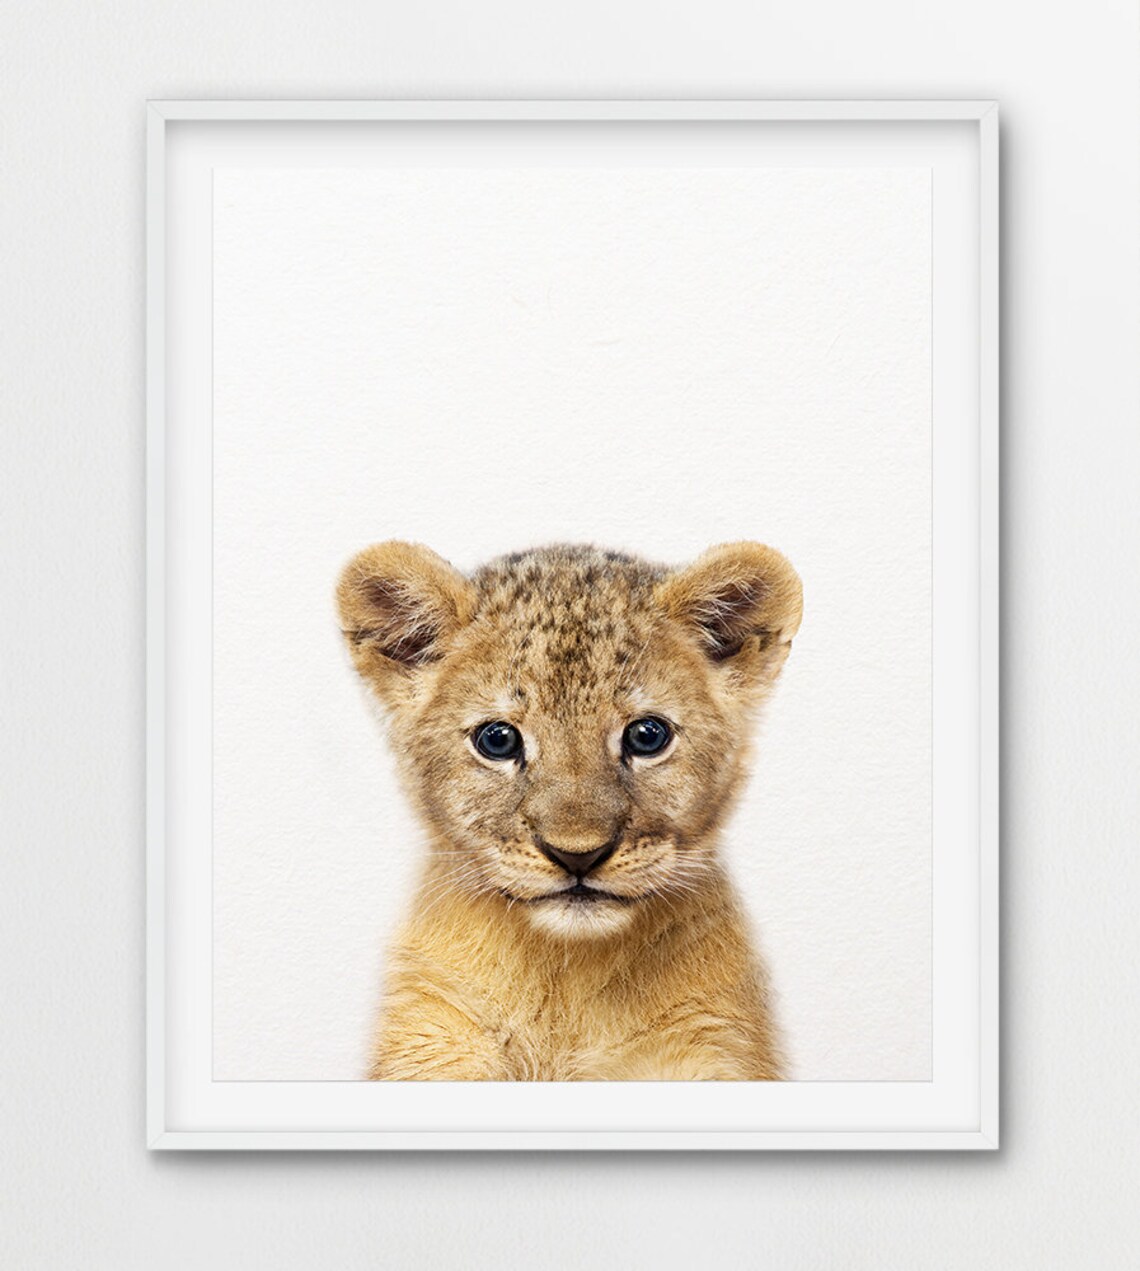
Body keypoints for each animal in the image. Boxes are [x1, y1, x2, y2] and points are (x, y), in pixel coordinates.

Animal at [336, 540, 802, 1080]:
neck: (563, 975)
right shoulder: (430, 1035)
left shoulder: (712, 1042)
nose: (578, 855)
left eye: (648, 736)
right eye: (498, 740)